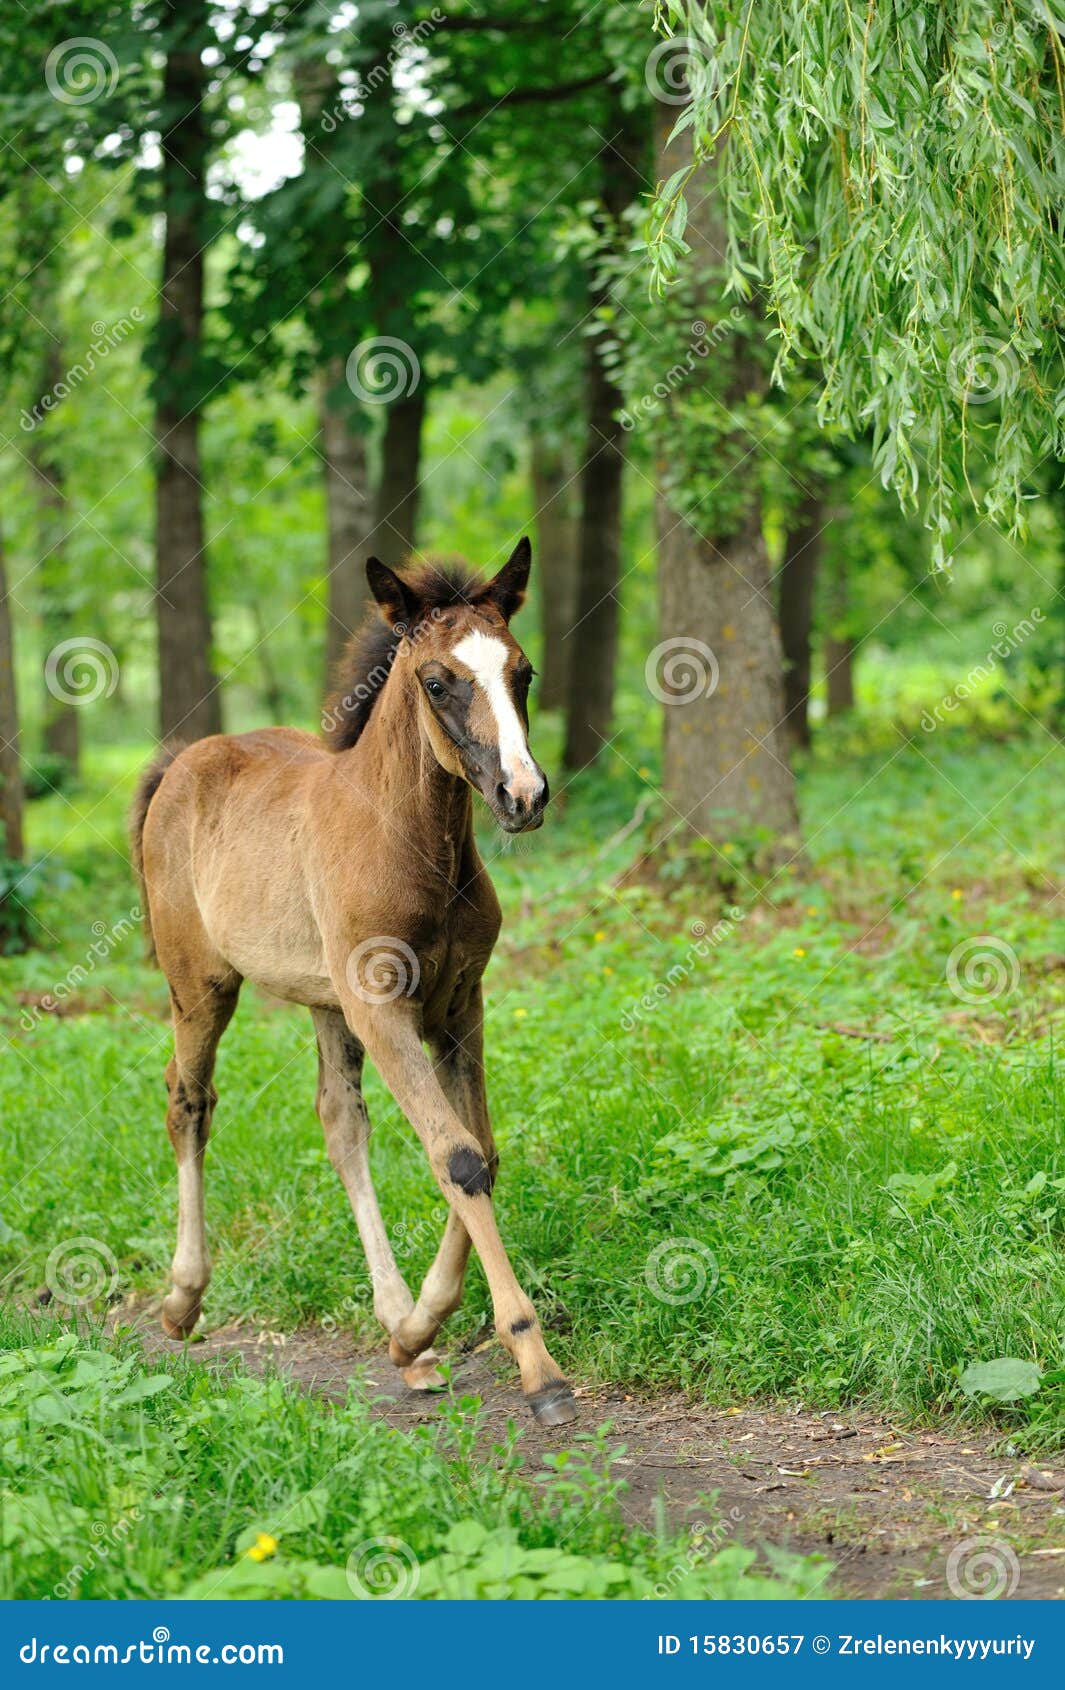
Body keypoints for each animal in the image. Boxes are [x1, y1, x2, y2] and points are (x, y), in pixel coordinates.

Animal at [129, 538, 577, 1425]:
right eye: (437, 681)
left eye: (524, 670)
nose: (522, 795)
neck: (413, 845)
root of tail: (181, 760)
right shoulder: (383, 1009)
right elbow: (459, 1158)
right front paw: (537, 1370)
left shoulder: (456, 1006)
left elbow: (478, 1152)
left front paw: (416, 1330)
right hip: (202, 987)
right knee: (188, 1101)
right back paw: (182, 1298)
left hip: (324, 1003)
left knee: (341, 1124)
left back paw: (402, 1333)